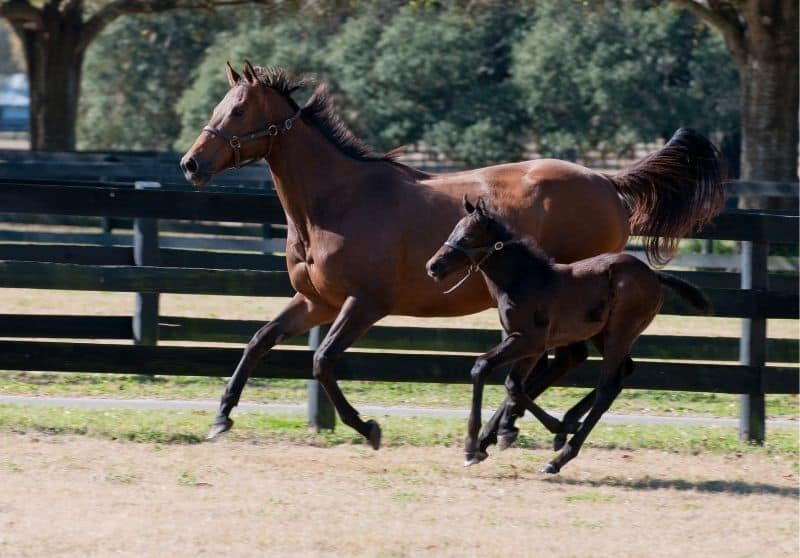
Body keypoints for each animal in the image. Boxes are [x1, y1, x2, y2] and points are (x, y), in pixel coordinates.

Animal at [425, 196, 712, 472]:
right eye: (453, 231)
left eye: (467, 237)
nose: (433, 266)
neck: (522, 280)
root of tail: (653, 274)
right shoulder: (525, 342)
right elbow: (514, 384)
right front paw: (500, 434)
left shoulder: (531, 341)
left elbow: (489, 371)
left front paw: (474, 446)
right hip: (602, 334)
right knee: (622, 372)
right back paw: (567, 425)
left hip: (621, 330)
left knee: (607, 387)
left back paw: (560, 457)